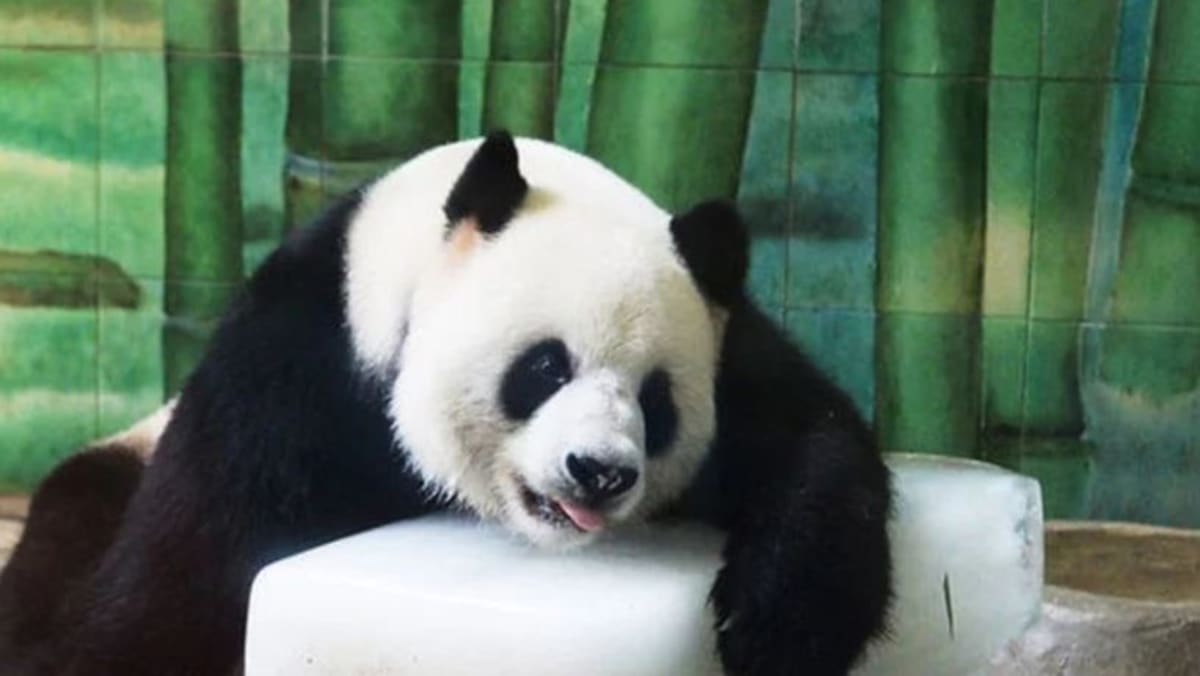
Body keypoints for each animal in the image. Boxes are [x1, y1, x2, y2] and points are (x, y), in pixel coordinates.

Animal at [0, 132, 892, 675]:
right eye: (545, 367)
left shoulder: (730, 344)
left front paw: (778, 627)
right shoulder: (297, 372)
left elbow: (812, 436)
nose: (600, 472)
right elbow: (183, 566)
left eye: (656, 399)